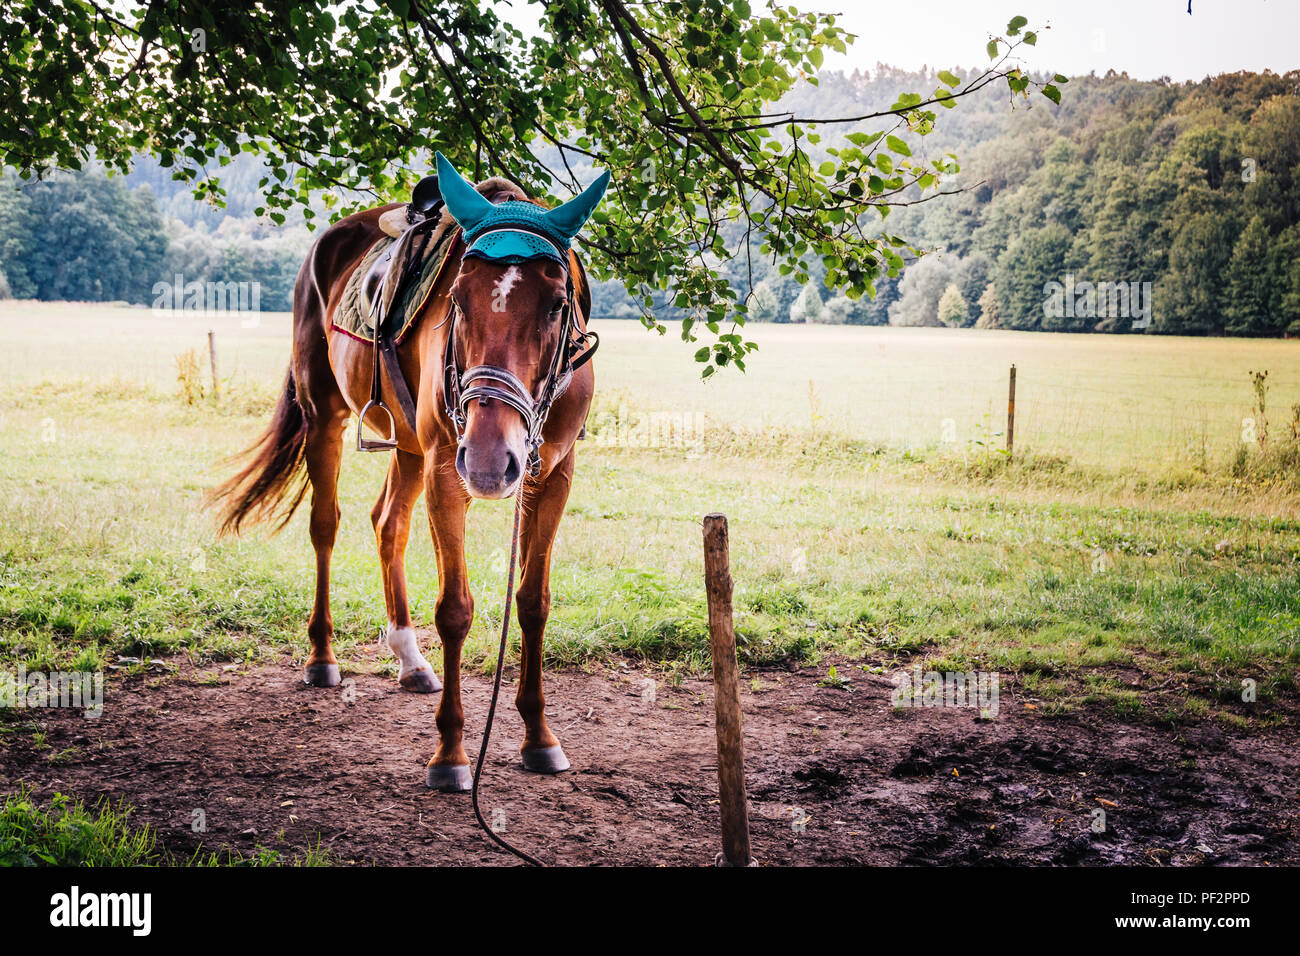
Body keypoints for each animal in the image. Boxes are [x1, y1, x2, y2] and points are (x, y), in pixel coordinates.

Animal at [209, 152, 611, 791]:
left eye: (555, 304)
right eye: (458, 302)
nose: (491, 460)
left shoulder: (553, 474)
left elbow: (532, 601)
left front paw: (539, 737)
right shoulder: (448, 467)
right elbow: (455, 609)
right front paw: (450, 754)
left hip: (409, 448)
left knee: (387, 524)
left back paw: (409, 657)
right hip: (328, 416)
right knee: (326, 525)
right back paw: (321, 657)